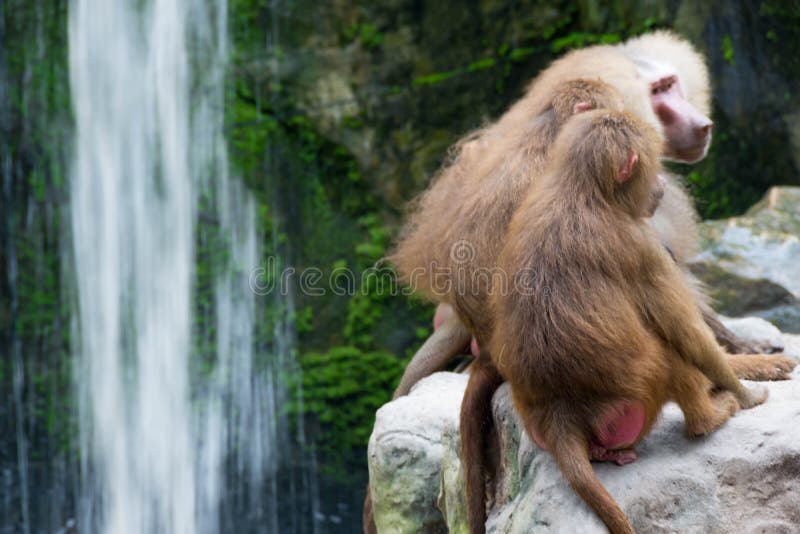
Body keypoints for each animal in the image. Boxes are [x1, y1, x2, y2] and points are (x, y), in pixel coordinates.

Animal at [472, 109, 768, 534]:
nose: (660, 185)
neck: (580, 188)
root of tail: (559, 416)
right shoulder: (640, 242)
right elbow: (687, 334)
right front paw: (745, 394)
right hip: (637, 395)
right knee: (672, 359)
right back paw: (710, 417)